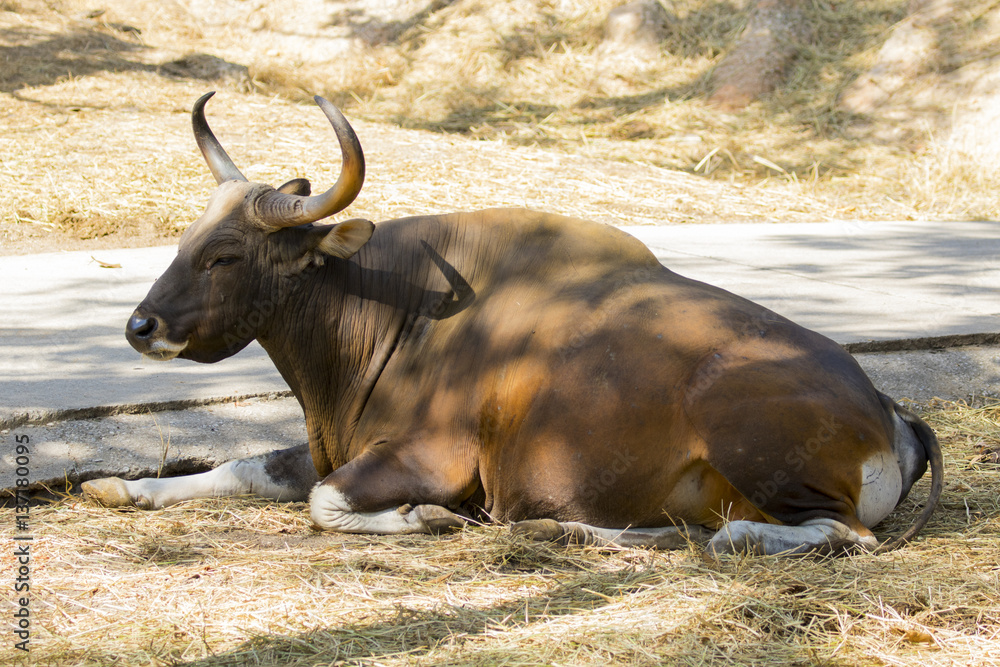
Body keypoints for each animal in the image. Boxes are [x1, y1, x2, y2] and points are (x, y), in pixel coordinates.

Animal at [83, 92, 943, 556]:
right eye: (188, 236)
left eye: (226, 254)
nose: (140, 325)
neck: (396, 319)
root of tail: (891, 411)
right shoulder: (333, 446)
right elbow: (241, 468)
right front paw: (121, 486)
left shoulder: (426, 458)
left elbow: (323, 501)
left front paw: (427, 518)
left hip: (753, 443)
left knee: (830, 533)